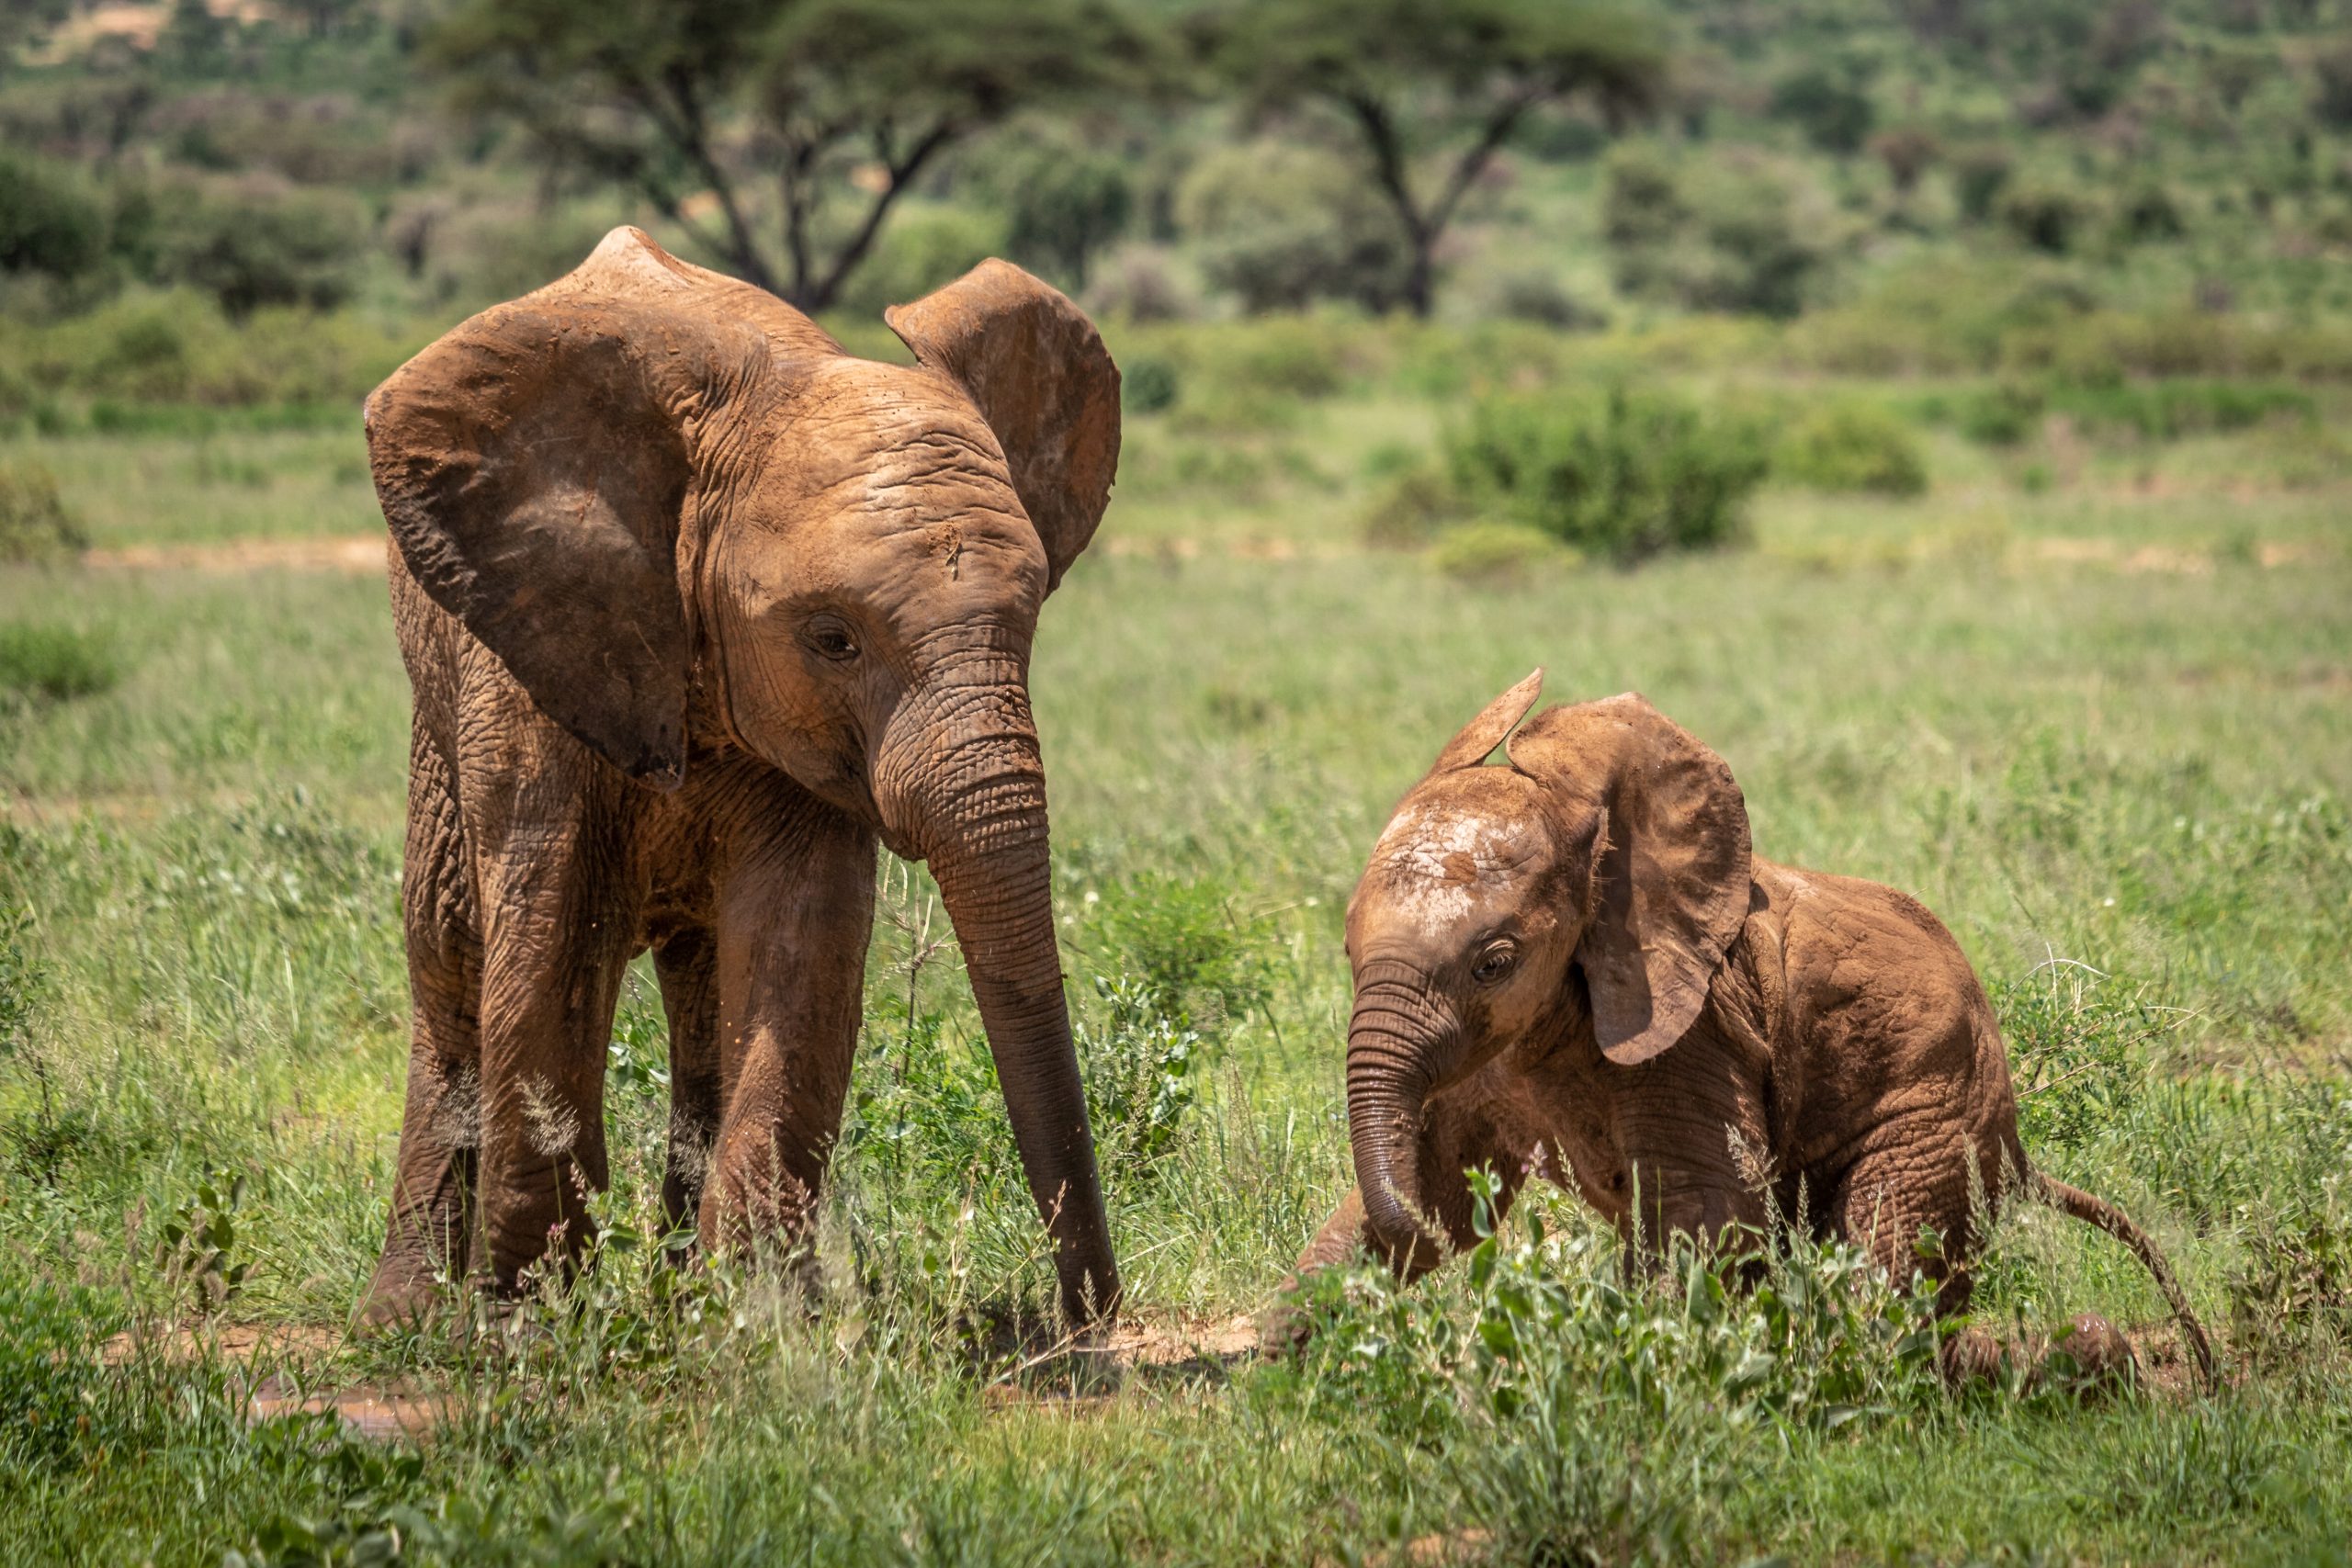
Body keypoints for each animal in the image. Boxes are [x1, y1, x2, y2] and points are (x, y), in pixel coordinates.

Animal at [358, 226, 1122, 1330]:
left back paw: (676, 1297)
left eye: (1029, 618)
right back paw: (405, 1322)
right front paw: (527, 1326)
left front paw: (751, 1327)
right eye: (833, 638)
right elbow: (546, 946)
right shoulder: (537, 660)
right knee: (451, 970)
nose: (1089, 1319)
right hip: (439, 700)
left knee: (701, 1000)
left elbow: (802, 953)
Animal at [1277, 669, 2213, 1385]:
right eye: (1347, 944)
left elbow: (1709, 1210)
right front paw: (1275, 1356)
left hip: (1937, 1117)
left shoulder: (1694, 1025)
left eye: (1493, 963)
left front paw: (1635, 1365)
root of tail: (2020, 1146)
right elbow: (1434, 1176)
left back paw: (2067, 1355)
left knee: (1879, 1280)